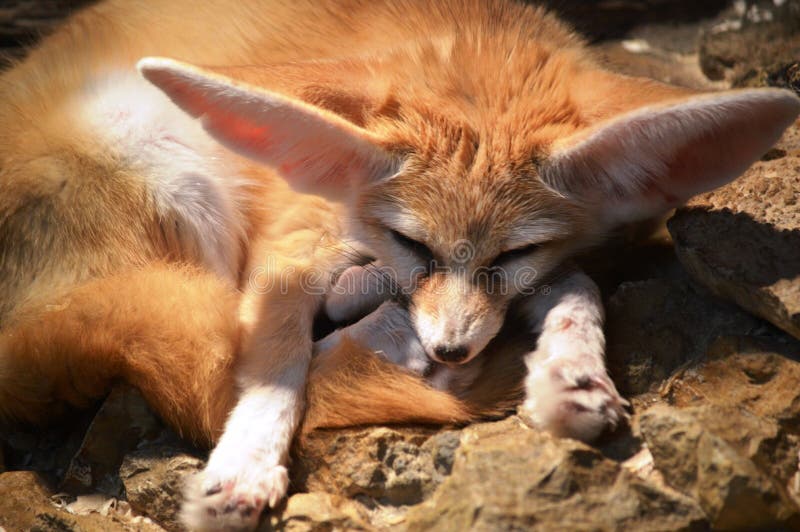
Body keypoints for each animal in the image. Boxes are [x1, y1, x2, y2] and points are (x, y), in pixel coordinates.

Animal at [0, 0, 798, 529]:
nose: (450, 349)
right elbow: (272, 361)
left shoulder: (547, 263)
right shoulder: (287, 244)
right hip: (170, 167)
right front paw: (248, 461)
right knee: (212, 375)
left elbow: (573, 283)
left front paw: (574, 372)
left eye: (515, 251)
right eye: (414, 243)